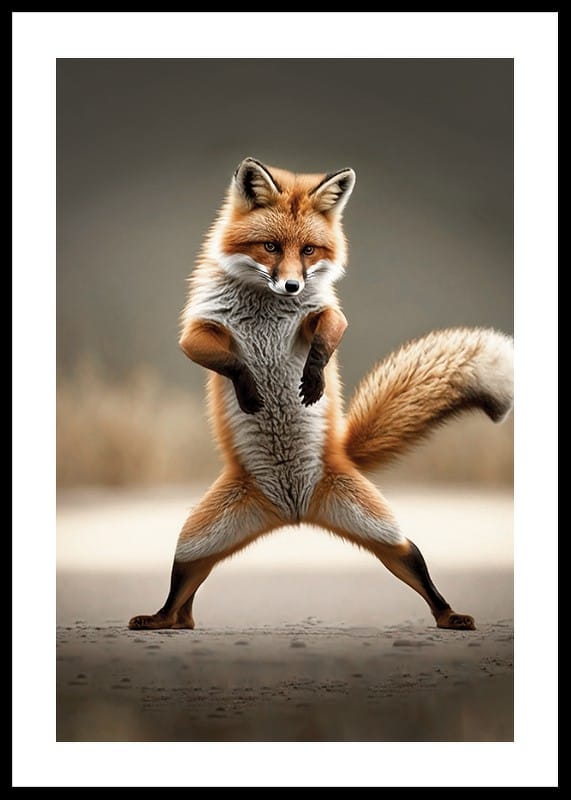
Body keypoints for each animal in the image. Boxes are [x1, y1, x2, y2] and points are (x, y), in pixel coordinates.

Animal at [129, 157, 513, 632]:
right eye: (271, 247)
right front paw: (251, 387)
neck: (266, 308)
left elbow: (329, 332)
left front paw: (313, 378)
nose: (292, 287)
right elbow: (231, 361)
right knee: (184, 592)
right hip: (196, 542)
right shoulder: (200, 329)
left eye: (309, 251)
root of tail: (293, 512)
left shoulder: (324, 313)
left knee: (414, 561)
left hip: (381, 532)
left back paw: (449, 615)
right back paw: (164, 620)